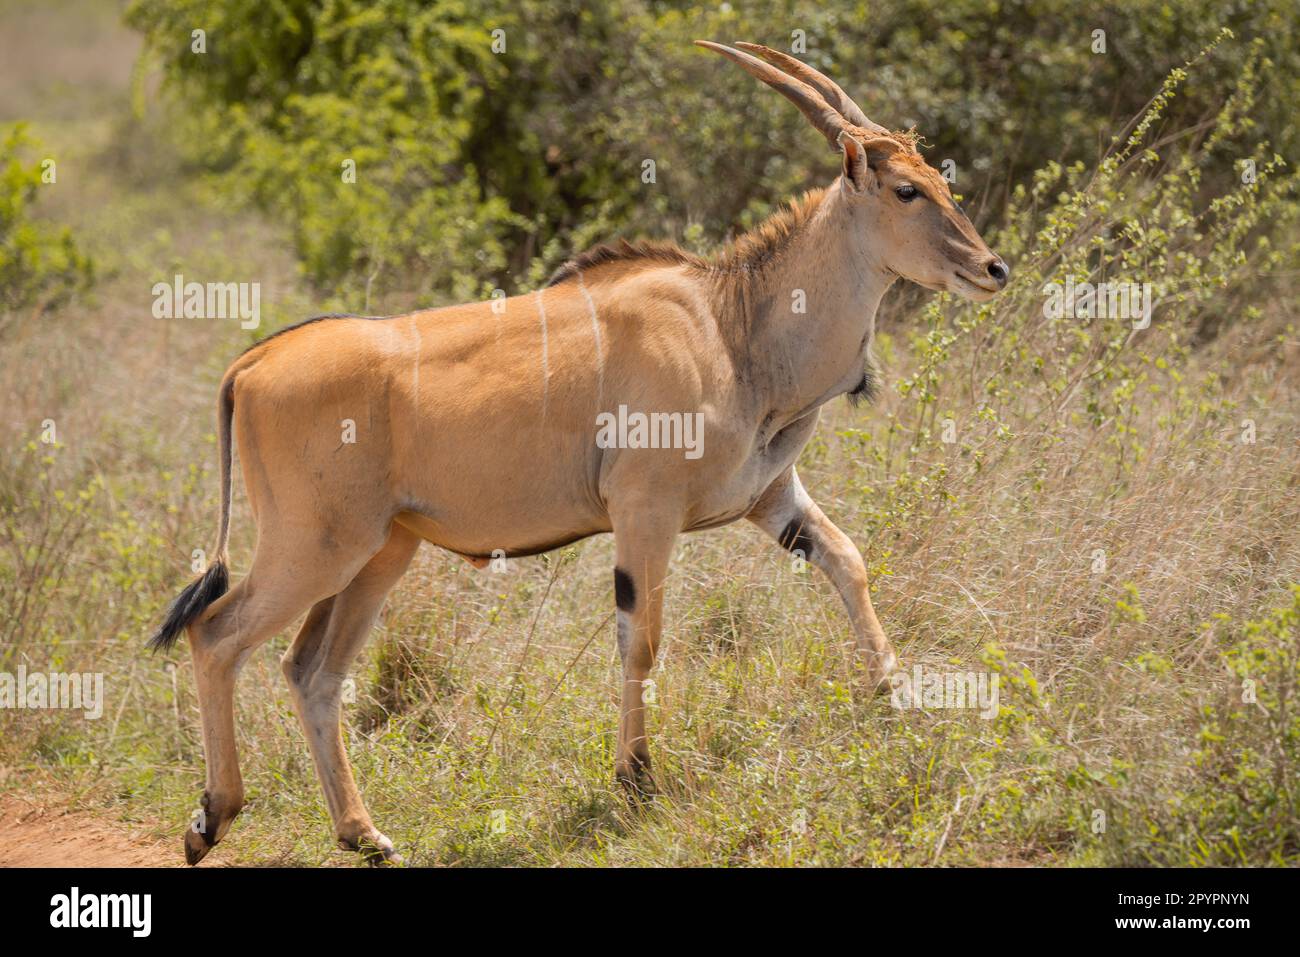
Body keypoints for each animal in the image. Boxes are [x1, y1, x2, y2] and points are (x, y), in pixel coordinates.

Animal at [149, 40, 1008, 866]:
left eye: (939, 182)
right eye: (907, 191)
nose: (992, 267)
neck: (735, 324)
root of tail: (252, 364)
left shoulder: (771, 498)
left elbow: (849, 561)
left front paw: (897, 693)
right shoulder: (645, 509)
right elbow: (642, 635)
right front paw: (635, 778)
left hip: (379, 554)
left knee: (312, 671)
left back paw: (365, 834)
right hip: (316, 548)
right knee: (217, 634)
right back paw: (211, 817)